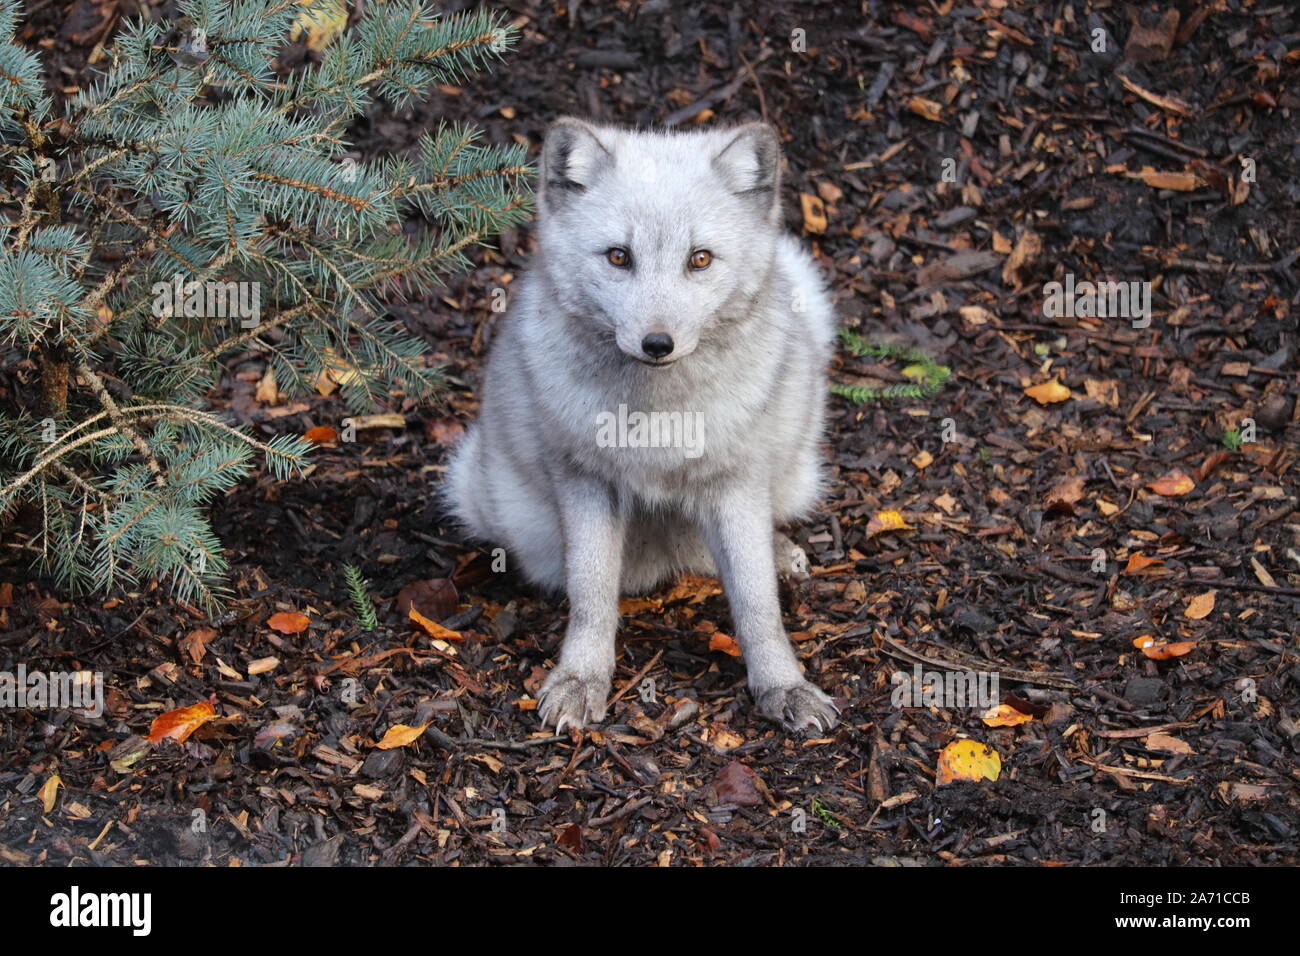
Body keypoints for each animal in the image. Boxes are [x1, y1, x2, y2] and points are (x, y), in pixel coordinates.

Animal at [444, 118, 839, 734]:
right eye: (618, 256)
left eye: (700, 259)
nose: (658, 343)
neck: (657, 423)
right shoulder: (584, 480)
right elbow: (591, 592)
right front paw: (581, 679)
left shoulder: (736, 483)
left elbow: (757, 603)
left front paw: (784, 686)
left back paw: (779, 554)